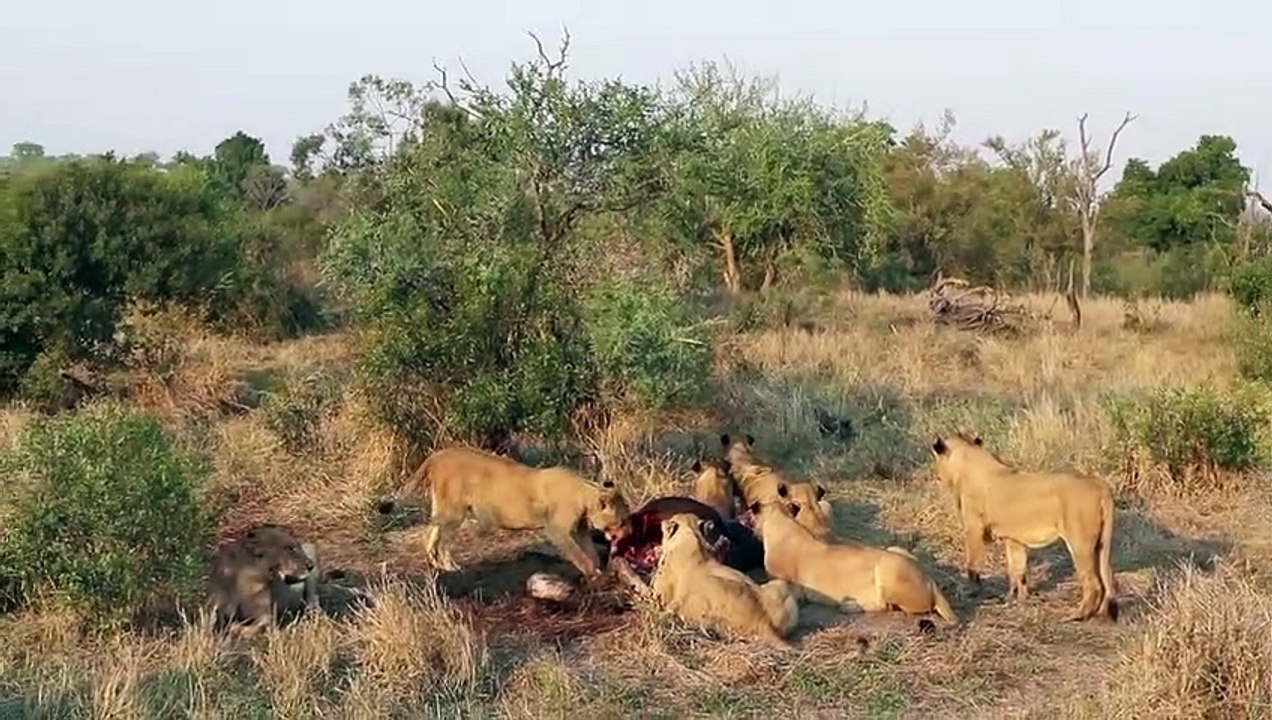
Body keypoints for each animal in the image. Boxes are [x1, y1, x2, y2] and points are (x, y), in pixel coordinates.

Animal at [381, 446, 631, 581]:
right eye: (622, 519)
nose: (628, 531)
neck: (585, 494)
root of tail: (437, 454)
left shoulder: (579, 529)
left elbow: (590, 550)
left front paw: (599, 568)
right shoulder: (557, 530)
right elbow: (578, 554)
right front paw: (592, 572)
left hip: (443, 507)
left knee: (430, 532)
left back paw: (435, 565)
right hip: (454, 511)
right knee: (440, 539)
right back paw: (449, 567)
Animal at [747, 499, 959, 626]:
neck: (782, 521)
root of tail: (931, 583)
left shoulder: (792, 588)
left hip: (887, 571)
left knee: (885, 605)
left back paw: (849, 606)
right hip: (895, 549)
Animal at [930, 433, 1117, 622]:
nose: (935, 474)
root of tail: (1101, 486)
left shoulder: (975, 530)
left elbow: (972, 564)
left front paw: (971, 592)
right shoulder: (1014, 539)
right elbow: (1017, 570)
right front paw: (1016, 598)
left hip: (1080, 544)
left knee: (1093, 583)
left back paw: (1077, 615)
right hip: (1100, 545)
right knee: (1107, 578)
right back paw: (1100, 613)